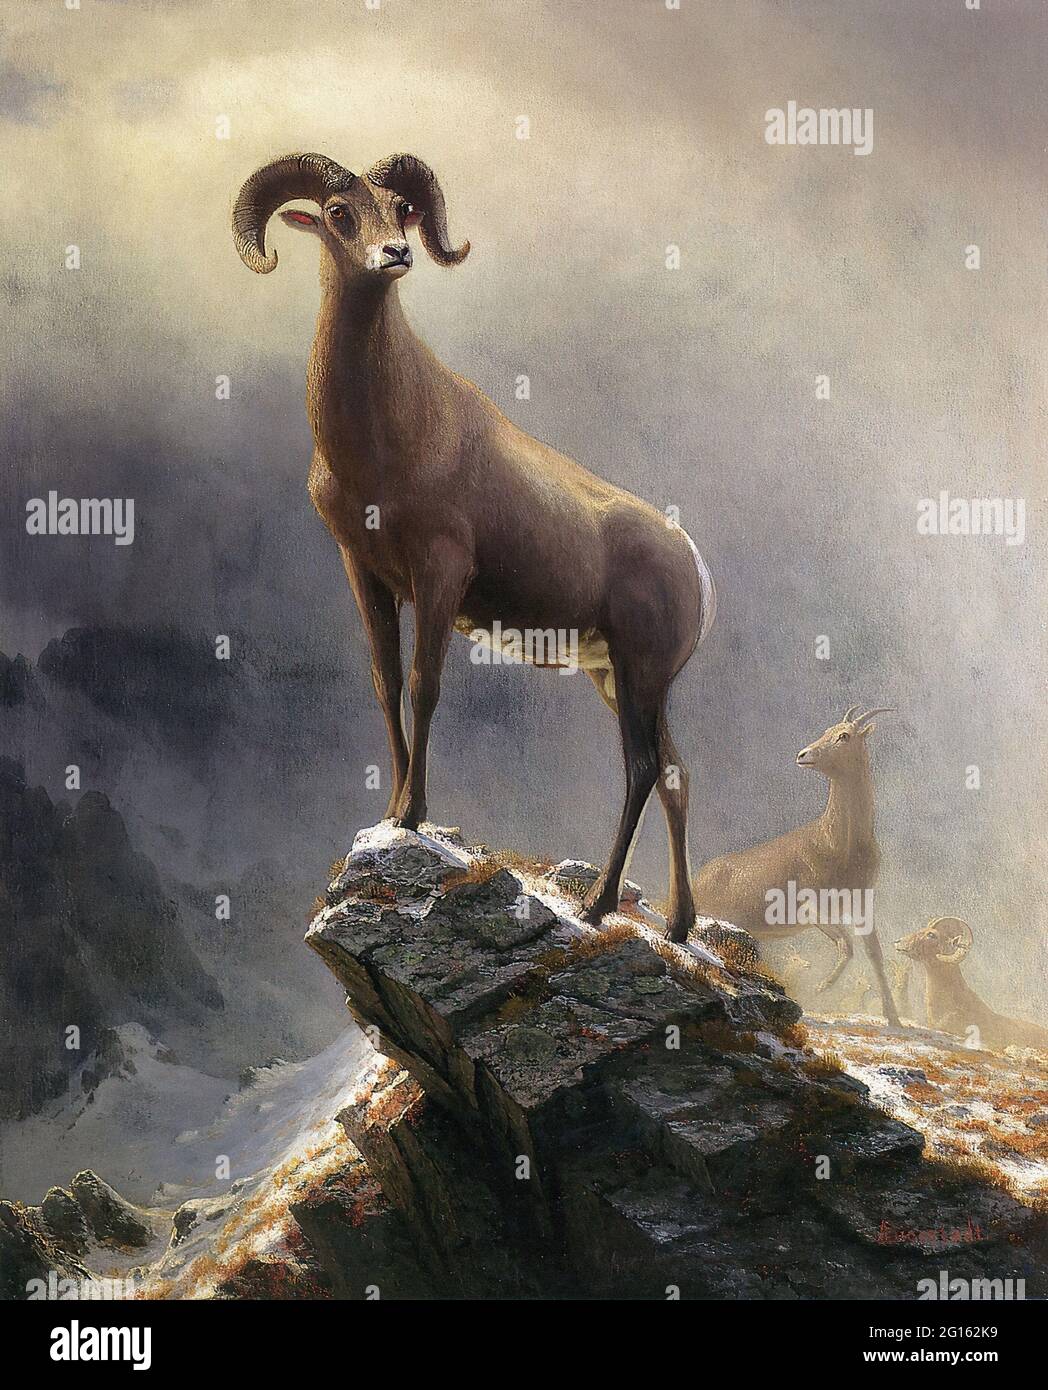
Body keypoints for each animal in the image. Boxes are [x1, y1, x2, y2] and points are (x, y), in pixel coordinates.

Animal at [231, 152, 717, 943]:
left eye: (399, 208)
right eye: (339, 213)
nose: (395, 254)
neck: (385, 436)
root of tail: (693, 564)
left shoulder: (441, 573)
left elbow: (425, 686)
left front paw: (411, 816)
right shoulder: (365, 572)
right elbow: (386, 683)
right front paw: (392, 809)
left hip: (638, 674)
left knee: (643, 769)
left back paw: (599, 904)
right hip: (621, 679)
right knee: (674, 773)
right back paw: (676, 927)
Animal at [691, 706, 900, 1024]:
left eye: (843, 736)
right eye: (827, 731)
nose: (803, 754)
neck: (838, 842)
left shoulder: (861, 904)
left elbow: (873, 954)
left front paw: (894, 1018)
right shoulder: (814, 908)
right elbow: (847, 946)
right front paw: (821, 987)